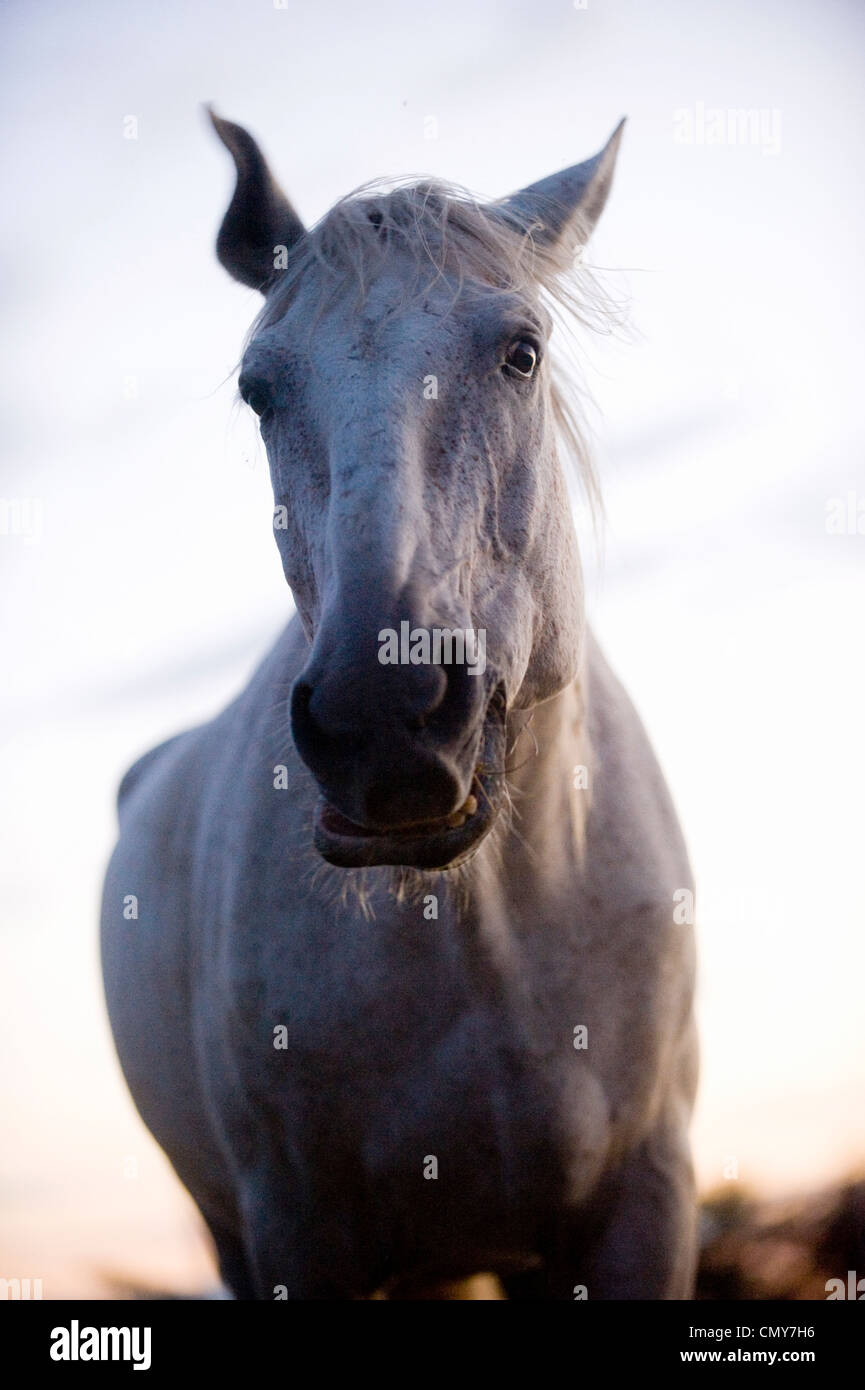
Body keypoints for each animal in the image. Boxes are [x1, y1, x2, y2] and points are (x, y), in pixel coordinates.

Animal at [100, 110, 698, 1300]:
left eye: (521, 351)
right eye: (259, 389)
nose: (383, 719)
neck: (484, 928)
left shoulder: (643, 1204)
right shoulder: (295, 1232)